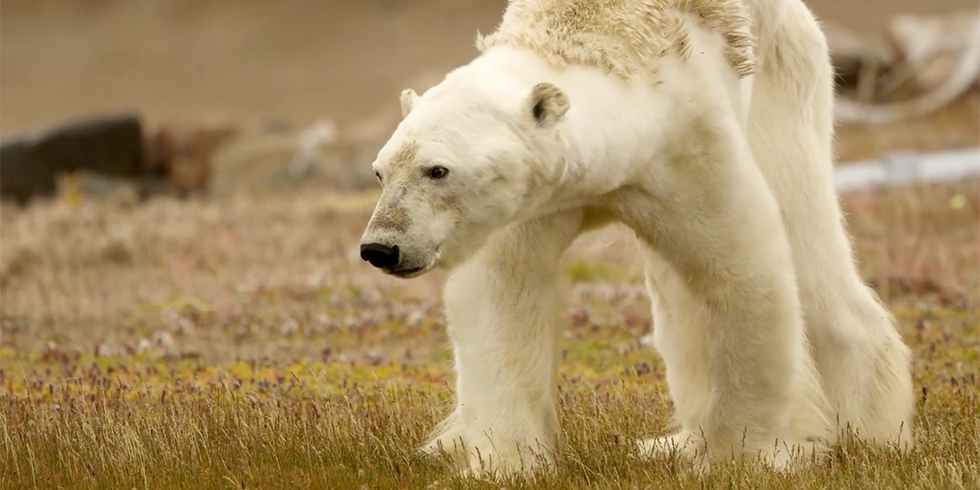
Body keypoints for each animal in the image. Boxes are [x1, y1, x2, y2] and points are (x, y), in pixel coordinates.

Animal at [358, 0, 915, 477]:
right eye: (380, 171)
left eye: (437, 170)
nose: (380, 248)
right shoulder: (531, 200)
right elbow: (503, 294)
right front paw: (503, 462)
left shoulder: (689, 145)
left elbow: (743, 272)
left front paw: (743, 456)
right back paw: (672, 443)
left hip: (785, 83)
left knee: (807, 242)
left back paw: (872, 434)